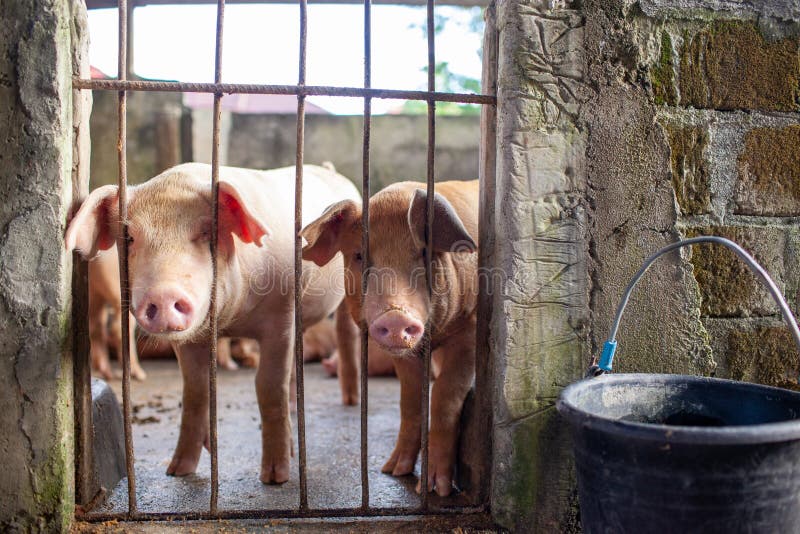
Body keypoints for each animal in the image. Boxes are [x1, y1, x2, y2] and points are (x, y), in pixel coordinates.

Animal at [88, 245, 146, 381]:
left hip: (94, 292)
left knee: (96, 326)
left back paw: (107, 374)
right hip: (115, 282)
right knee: (117, 328)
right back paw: (140, 375)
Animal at [301, 179, 478, 496]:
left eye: (425, 253)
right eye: (360, 256)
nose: (396, 317)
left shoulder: (469, 327)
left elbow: (445, 396)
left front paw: (434, 489)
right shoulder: (405, 357)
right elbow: (410, 401)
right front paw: (394, 471)